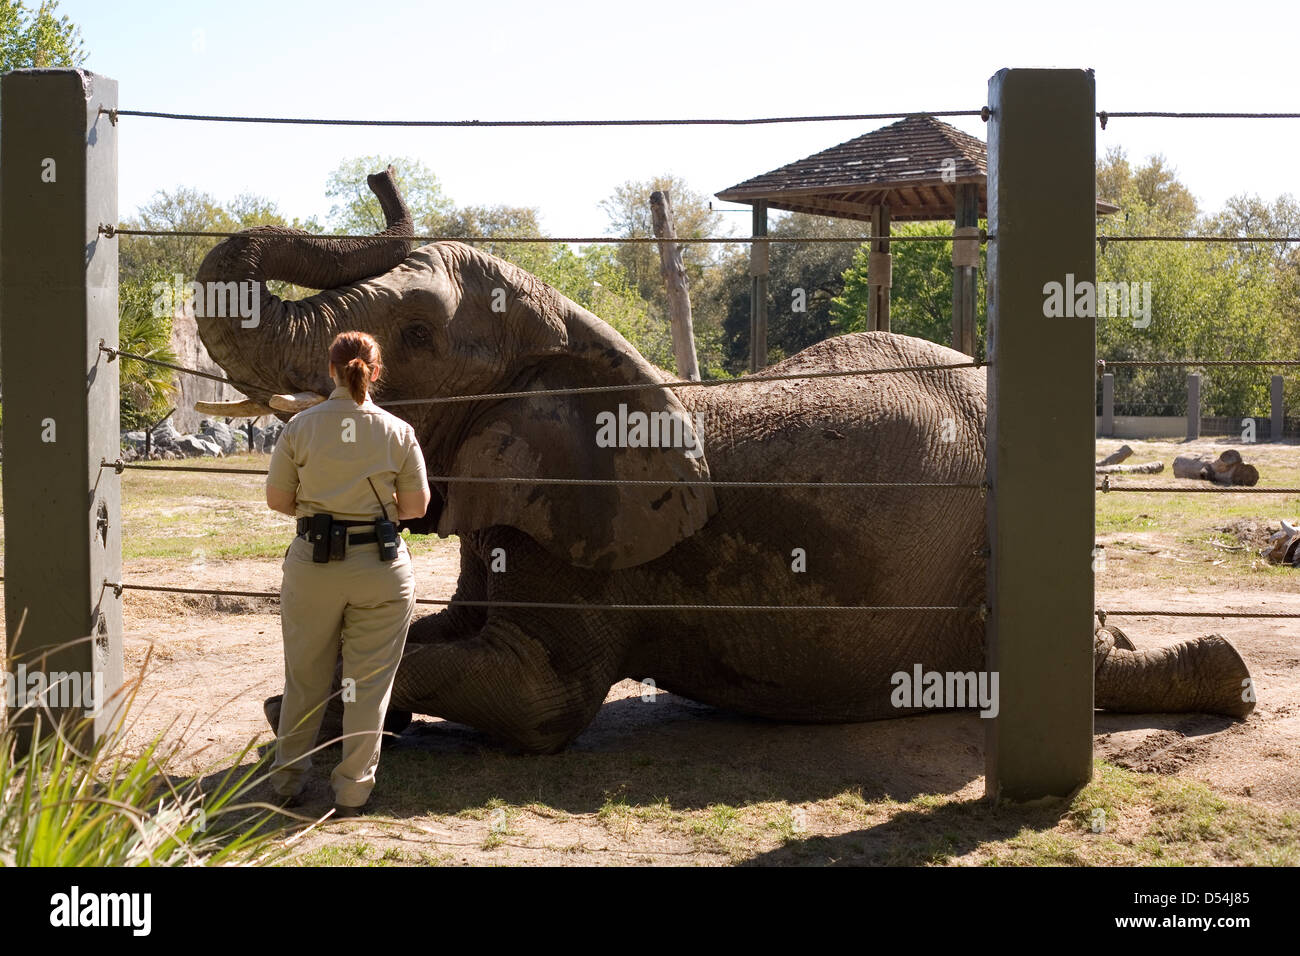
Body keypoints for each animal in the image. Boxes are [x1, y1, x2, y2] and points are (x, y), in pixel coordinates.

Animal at [193, 168, 1255, 755]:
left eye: (416, 334)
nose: (384, 183)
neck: (582, 340)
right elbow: (443, 634)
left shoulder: (594, 548)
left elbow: (538, 700)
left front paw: (296, 708)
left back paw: (1232, 677)